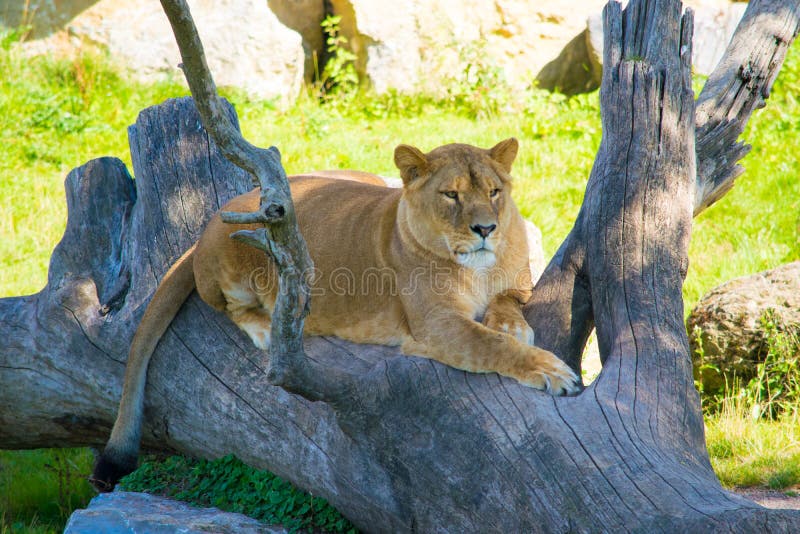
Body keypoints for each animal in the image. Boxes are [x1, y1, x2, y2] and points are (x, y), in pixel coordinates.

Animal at [90, 138, 579, 491]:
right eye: (451, 195)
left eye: (495, 193)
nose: (486, 229)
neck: (477, 267)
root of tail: (216, 215)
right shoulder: (434, 326)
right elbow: (490, 344)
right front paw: (553, 371)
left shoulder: (514, 283)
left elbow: (507, 302)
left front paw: (511, 322)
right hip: (234, 252)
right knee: (230, 307)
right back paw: (266, 327)